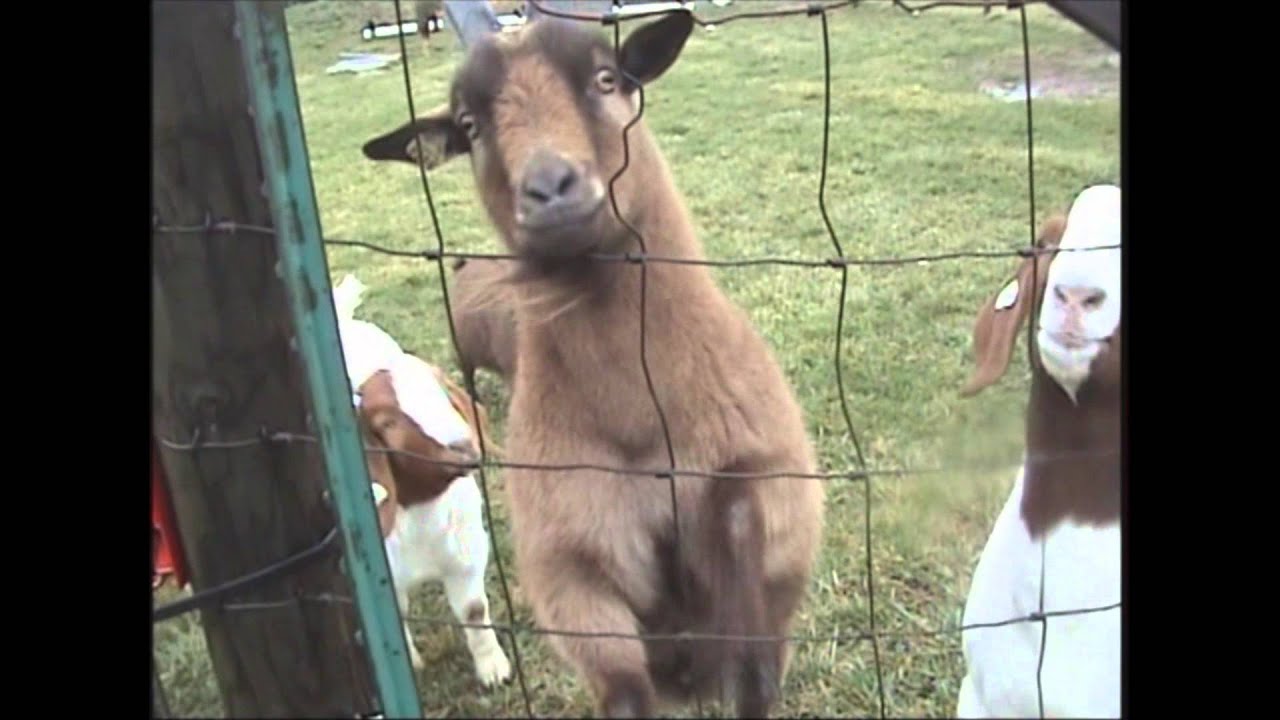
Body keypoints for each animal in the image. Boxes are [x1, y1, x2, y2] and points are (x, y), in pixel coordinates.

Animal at [333, 274, 513, 690]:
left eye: (442, 391)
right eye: (386, 423)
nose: (464, 446)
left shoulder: (466, 551)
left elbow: (474, 611)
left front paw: (494, 670)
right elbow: (396, 616)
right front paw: (410, 664)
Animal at [361, 12, 825, 718]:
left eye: (609, 79)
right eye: (470, 126)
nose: (550, 190)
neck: (643, 412)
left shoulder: (772, 501)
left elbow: (752, 649)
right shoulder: (573, 568)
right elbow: (623, 686)